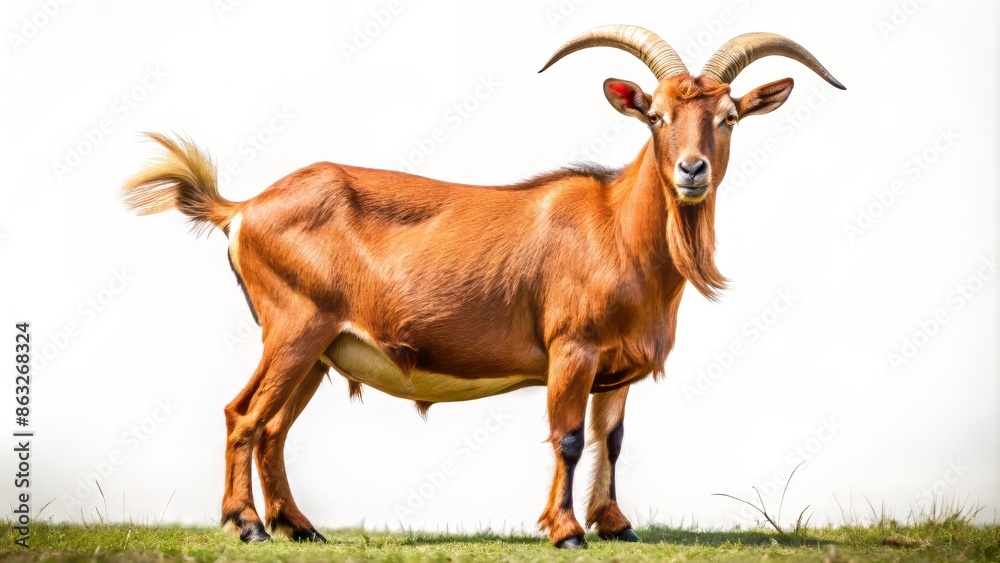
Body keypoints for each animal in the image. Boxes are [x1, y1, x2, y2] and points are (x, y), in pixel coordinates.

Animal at [124, 25, 843, 549]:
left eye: (729, 117)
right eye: (657, 116)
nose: (693, 171)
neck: (617, 228)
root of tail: (243, 208)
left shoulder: (617, 366)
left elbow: (611, 439)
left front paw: (617, 525)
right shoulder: (572, 348)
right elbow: (569, 436)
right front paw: (566, 531)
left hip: (322, 347)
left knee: (274, 427)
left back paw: (297, 526)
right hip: (294, 326)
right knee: (244, 414)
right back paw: (246, 525)